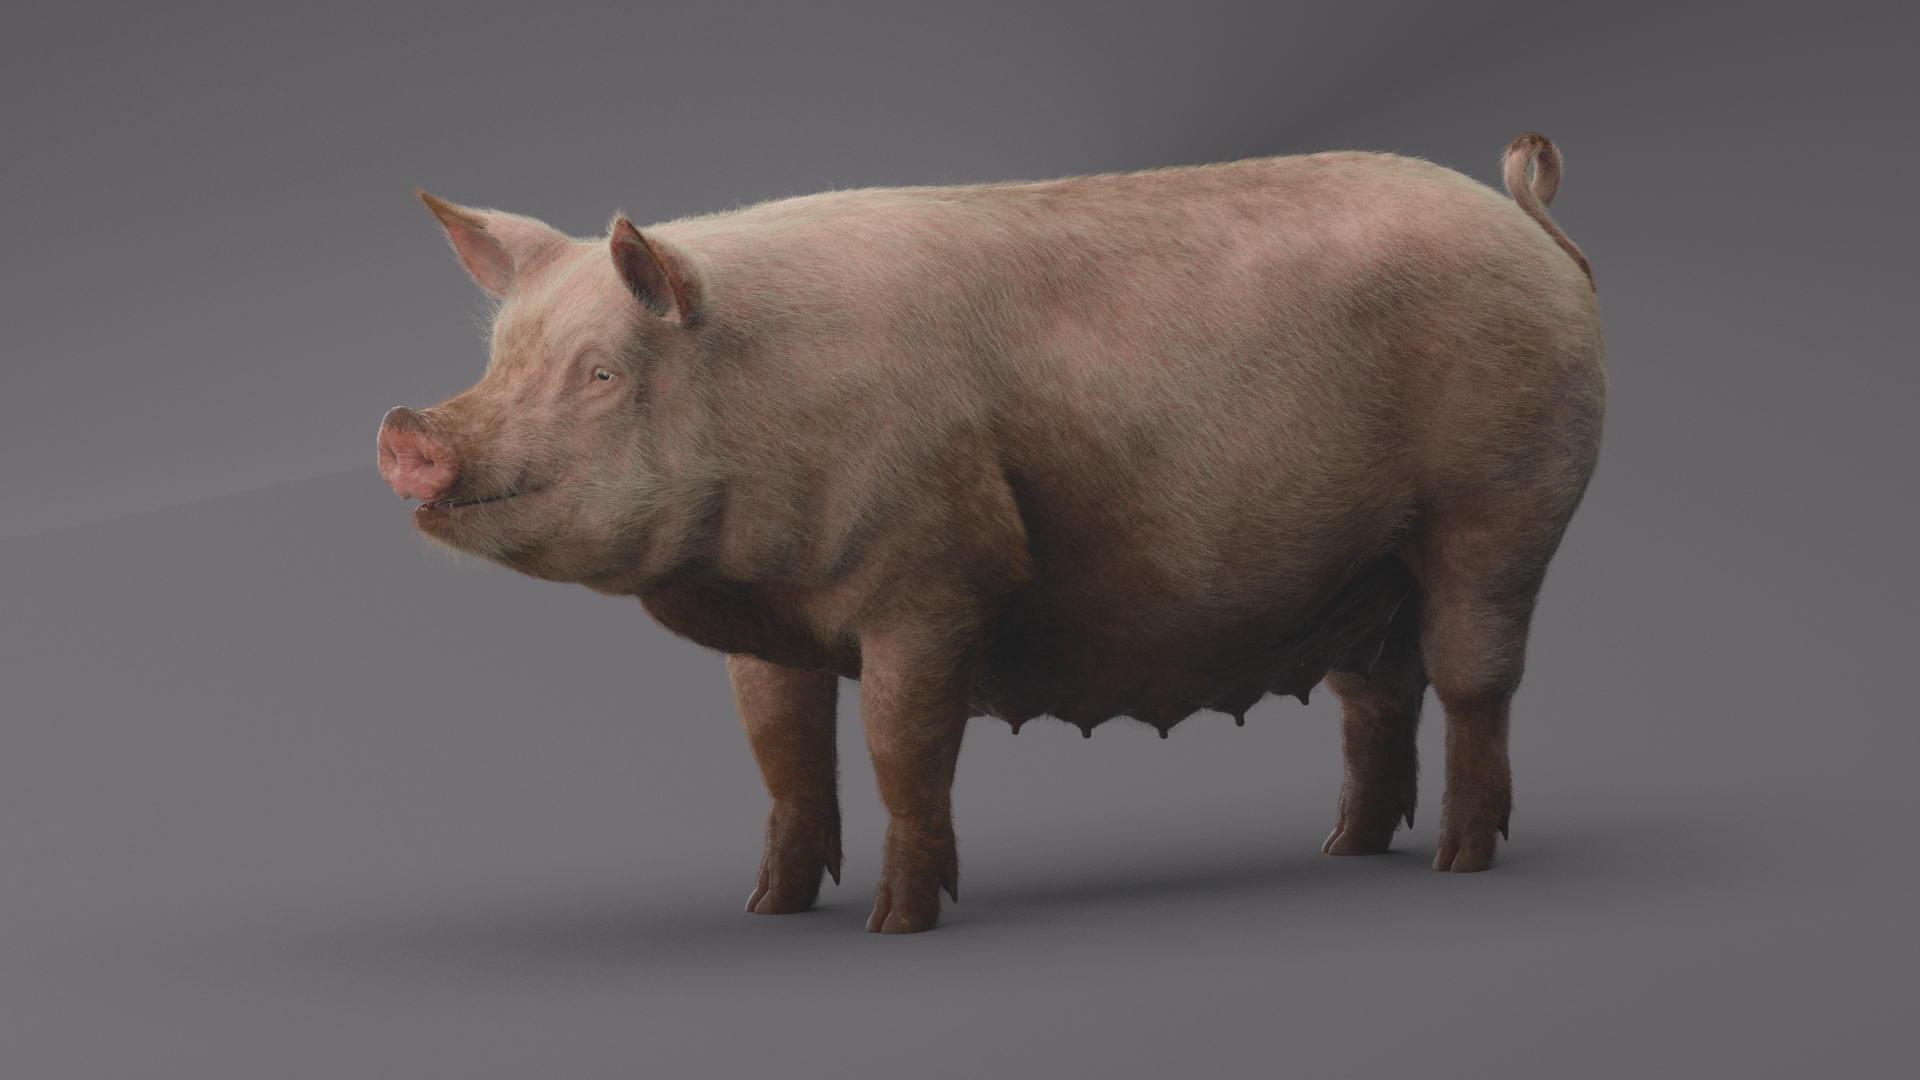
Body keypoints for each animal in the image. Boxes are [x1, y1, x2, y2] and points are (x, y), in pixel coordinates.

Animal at [379, 132, 1603, 933]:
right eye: (502, 355)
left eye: (600, 374)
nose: (407, 430)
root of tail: (1531, 224)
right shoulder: (770, 624)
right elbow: (785, 756)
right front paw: (769, 910)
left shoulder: (935, 577)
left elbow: (901, 748)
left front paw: (896, 926)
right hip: (1366, 566)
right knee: (1378, 693)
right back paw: (1347, 849)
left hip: (1502, 505)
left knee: (1477, 678)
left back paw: (1458, 864)